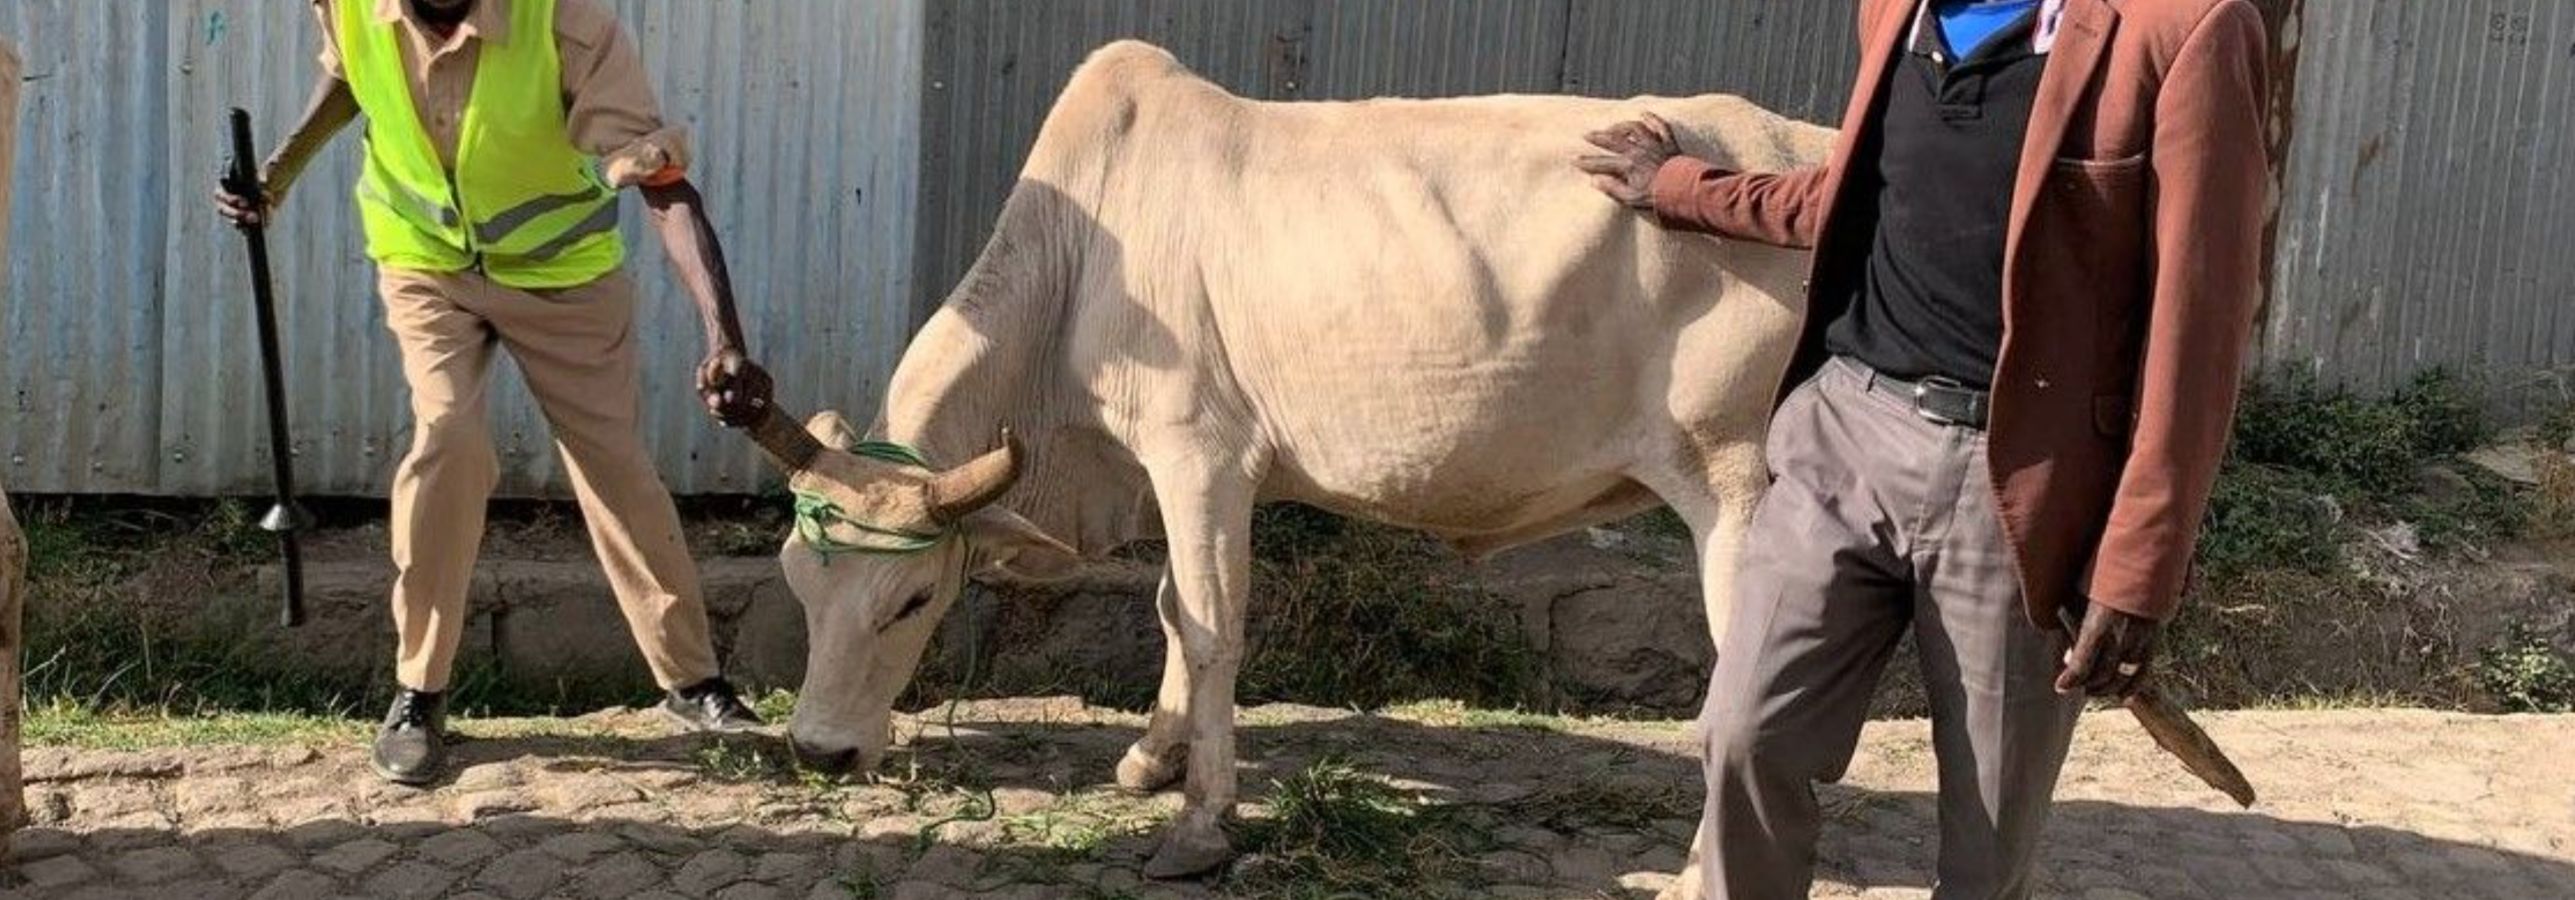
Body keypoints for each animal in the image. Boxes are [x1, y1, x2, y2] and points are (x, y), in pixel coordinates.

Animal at [744, 40, 1830, 885]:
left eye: (913, 599)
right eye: (798, 581)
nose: (821, 751)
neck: (1079, 267)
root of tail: (1809, 148)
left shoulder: (1200, 454)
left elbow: (1212, 627)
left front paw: (1198, 825)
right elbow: (1171, 610)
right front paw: (1149, 763)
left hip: (1734, 483)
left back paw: (1701, 871)